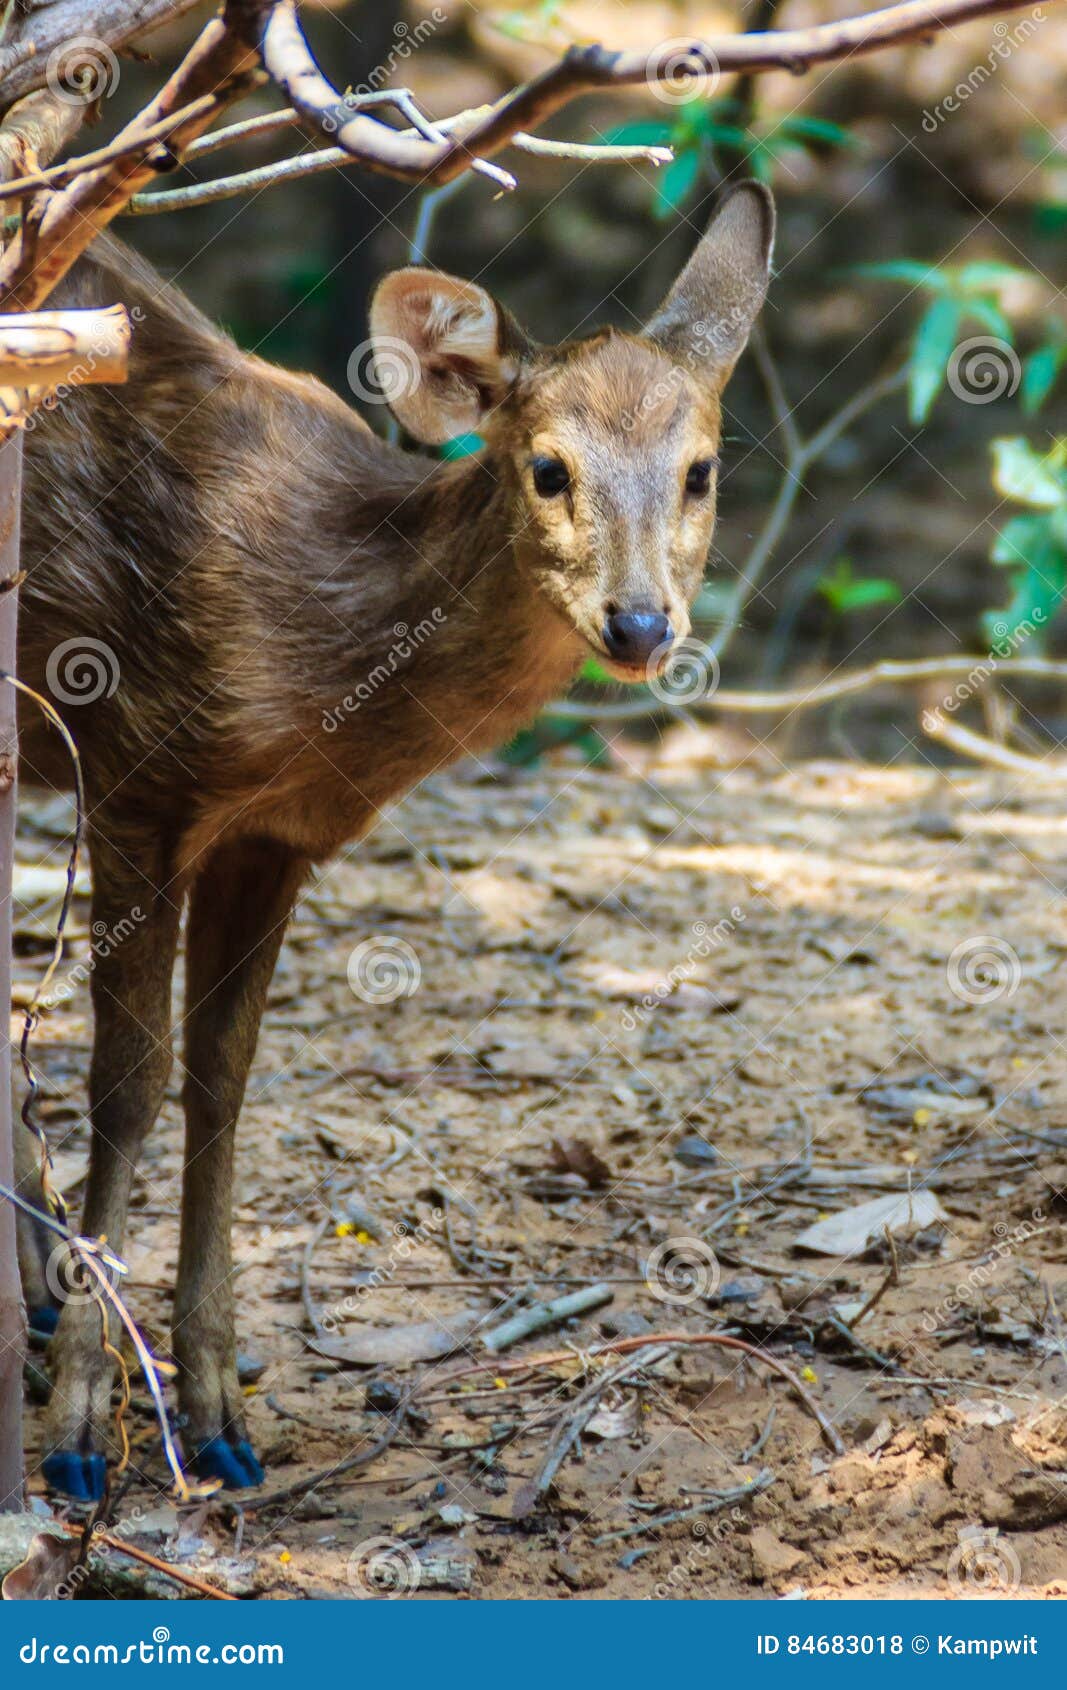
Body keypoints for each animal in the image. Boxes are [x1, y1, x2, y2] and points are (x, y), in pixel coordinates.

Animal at [13, 181, 774, 1499]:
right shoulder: (133, 769)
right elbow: (125, 1085)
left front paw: (217, 1411)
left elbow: (221, 1080)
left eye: (698, 470)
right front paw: (80, 1436)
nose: (639, 624)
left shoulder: (274, 835)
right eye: (546, 467)